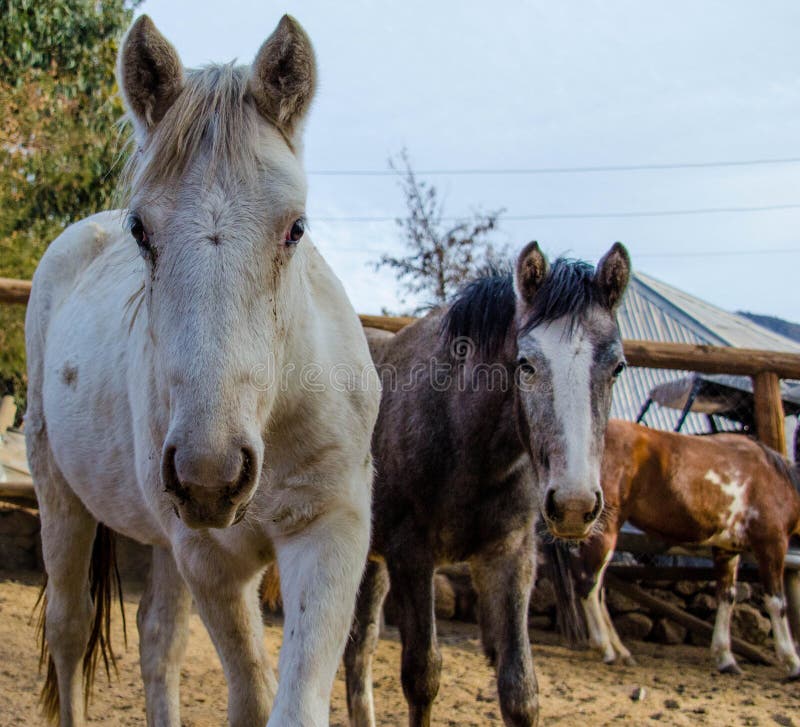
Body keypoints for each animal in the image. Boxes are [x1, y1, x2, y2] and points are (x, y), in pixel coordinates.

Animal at [24, 14, 380, 726]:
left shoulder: (331, 529)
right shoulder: (210, 559)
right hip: (63, 498)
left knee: (157, 642)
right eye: (141, 231)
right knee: (70, 630)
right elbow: (251, 697)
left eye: (296, 227)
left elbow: (291, 704)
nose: (210, 475)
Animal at [344, 242, 632, 727]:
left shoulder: (508, 557)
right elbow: (422, 675)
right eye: (526, 364)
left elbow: (520, 689)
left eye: (617, 368)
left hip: (370, 560)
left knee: (358, 650)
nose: (574, 504)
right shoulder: (412, 555)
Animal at [565, 418, 800, 678]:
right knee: (589, 584)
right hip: (604, 529)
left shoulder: (727, 549)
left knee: (596, 587)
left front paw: (725, 658)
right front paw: (792, 661)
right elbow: (777, 602)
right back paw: (606, 648)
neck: (776, 477)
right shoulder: (772, 544)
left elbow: (727, 598)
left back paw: (621, 651)